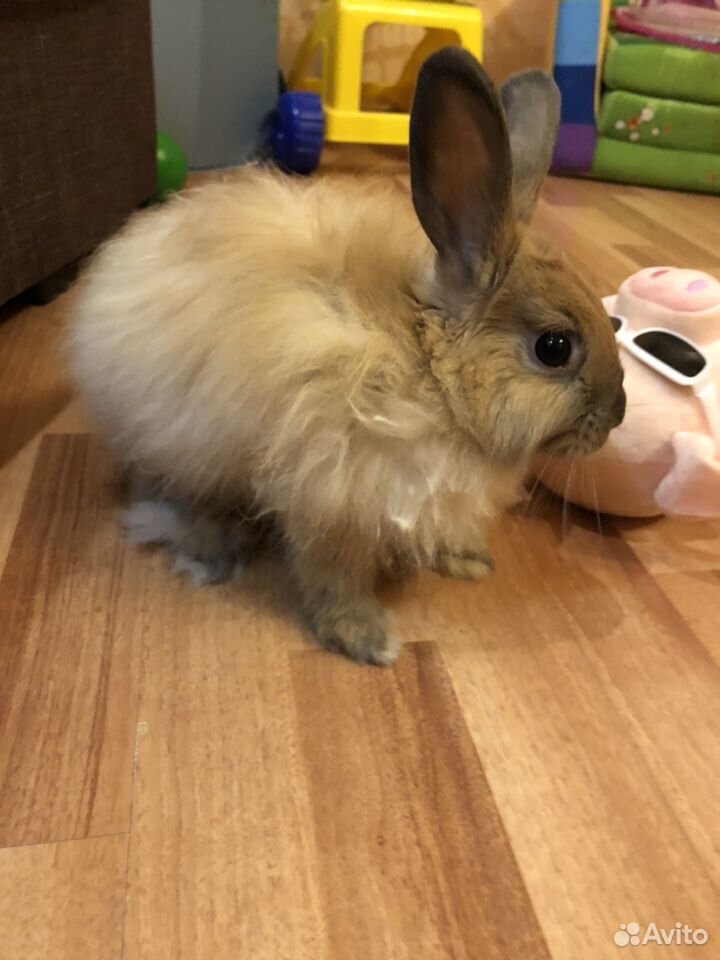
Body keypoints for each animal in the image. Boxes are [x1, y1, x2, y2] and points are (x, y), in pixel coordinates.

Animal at [68, 47, 626, 665]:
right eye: (555, 348)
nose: (617, 416)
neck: (428, 364)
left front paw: (466, 562)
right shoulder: (331, 496)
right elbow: (331, 576)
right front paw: (365, 639)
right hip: (177, 440)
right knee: (165, 493)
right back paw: (213, 551)